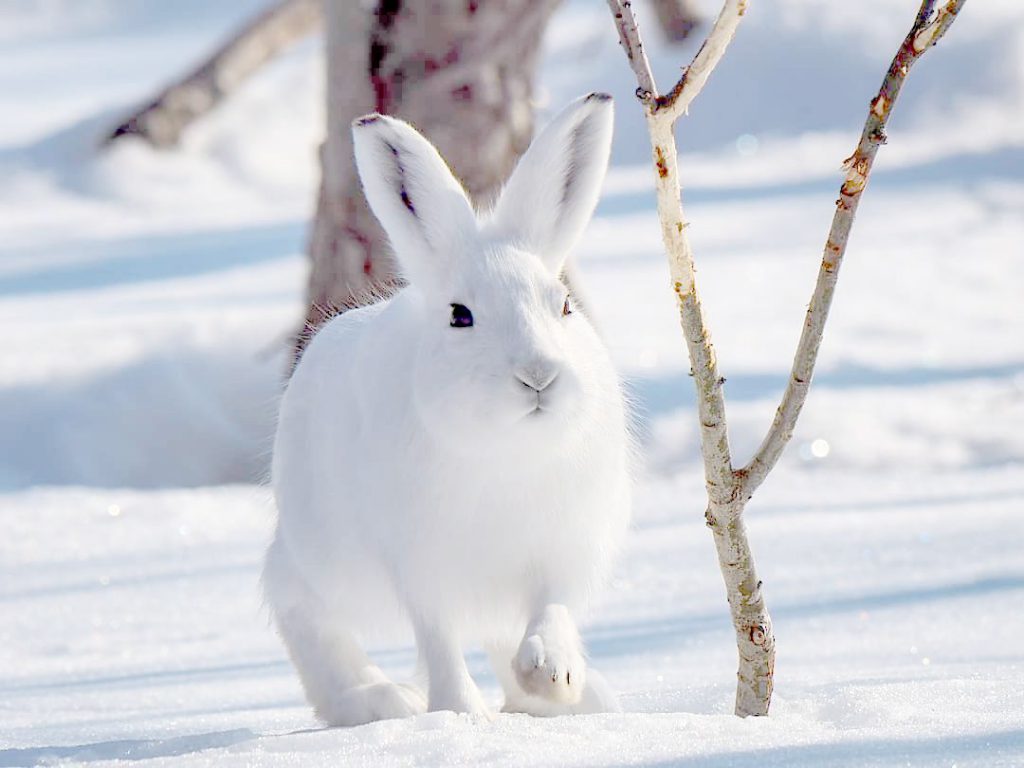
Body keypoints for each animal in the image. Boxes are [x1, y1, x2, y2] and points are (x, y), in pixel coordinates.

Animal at [263, 92, 632, 726]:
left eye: (563, 305)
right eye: (461, 315)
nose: (539, 375)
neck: (507, 448)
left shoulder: (562, 551)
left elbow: (551, 610)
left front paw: (553, 675)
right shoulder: (421, 568)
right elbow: (438, 640)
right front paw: (462, 715)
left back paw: (575, 698)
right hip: (329, 563)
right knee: (297, 605)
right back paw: (379, 700)